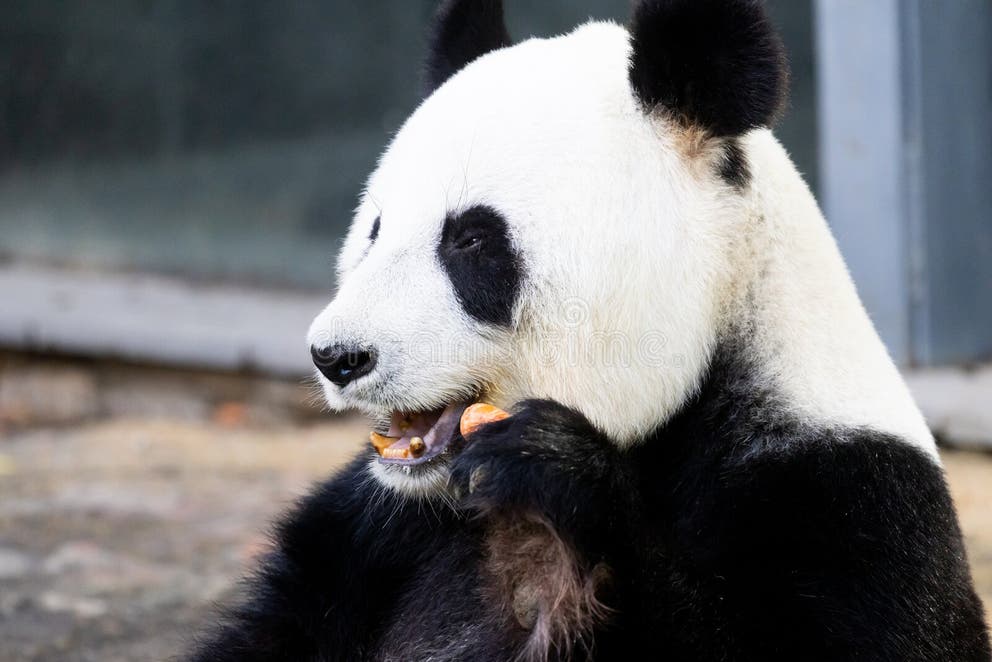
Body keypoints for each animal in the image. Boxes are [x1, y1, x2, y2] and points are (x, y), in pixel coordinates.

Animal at [189, 0, 990, 660]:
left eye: (471, 240)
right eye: (375, 231)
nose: (337, 357)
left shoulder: (852, 498)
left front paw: (555, 465)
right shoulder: (372, 530)